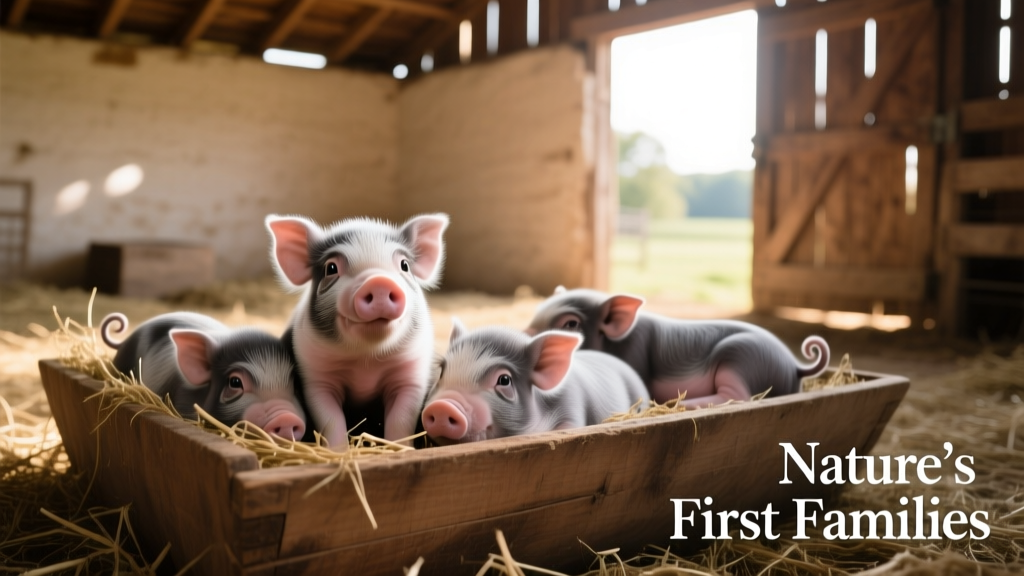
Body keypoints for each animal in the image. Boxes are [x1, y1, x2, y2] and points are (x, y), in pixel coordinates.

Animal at [266, 213, 449, 449]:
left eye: (405, 265)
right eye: (331, 268)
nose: (379, 282)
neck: (366, 362)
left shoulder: (411, 375)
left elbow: (401, 419)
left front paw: (401, 449)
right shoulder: (317, 378)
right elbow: (331, 419)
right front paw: (339, 451)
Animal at [526, 288, 830, 409]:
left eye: (570, 324)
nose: (525, 333)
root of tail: (795, 366)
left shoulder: (637, 358)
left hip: (742, 359)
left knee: (739, 396)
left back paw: (679, 404)